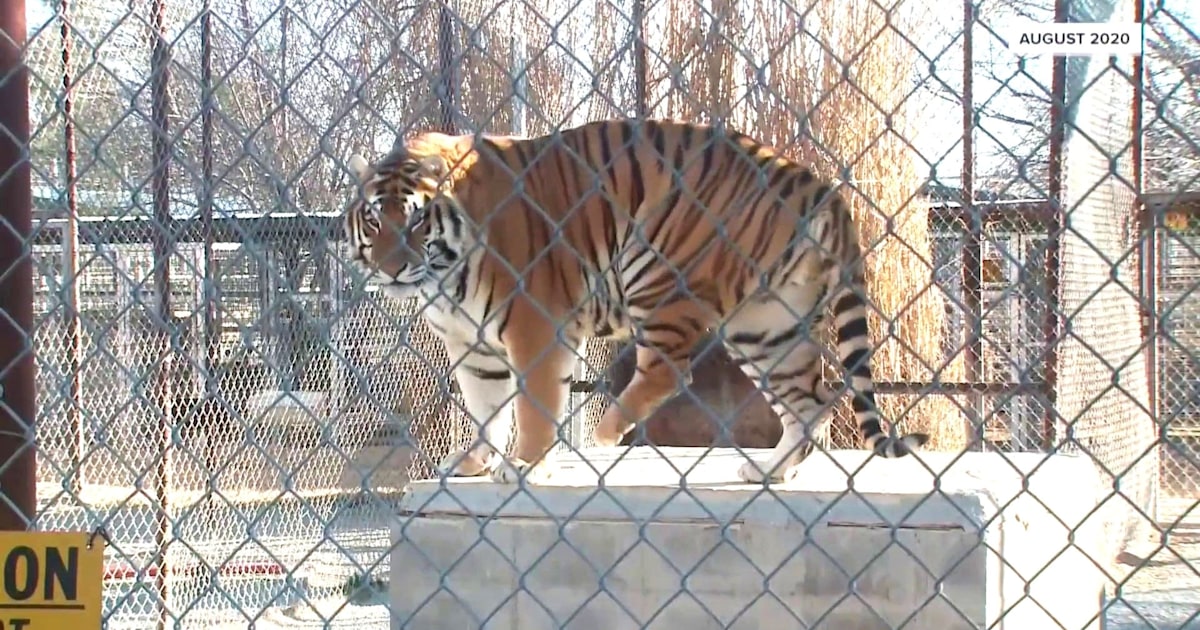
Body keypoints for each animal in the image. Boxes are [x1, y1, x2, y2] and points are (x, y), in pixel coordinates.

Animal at [341, 118, 929, 485]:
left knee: (671, 370)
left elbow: (532, 405)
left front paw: (526, 465)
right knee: (811, 402)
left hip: (659, 270)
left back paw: (605, 432)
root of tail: (814, 182)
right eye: (373, 220)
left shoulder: (534, 325)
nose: (390, 268)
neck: (444, 275)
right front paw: (472, 463)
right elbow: (486, 408)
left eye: (417, 222)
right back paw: (768, 471)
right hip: (765, 324)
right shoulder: (473, 344)